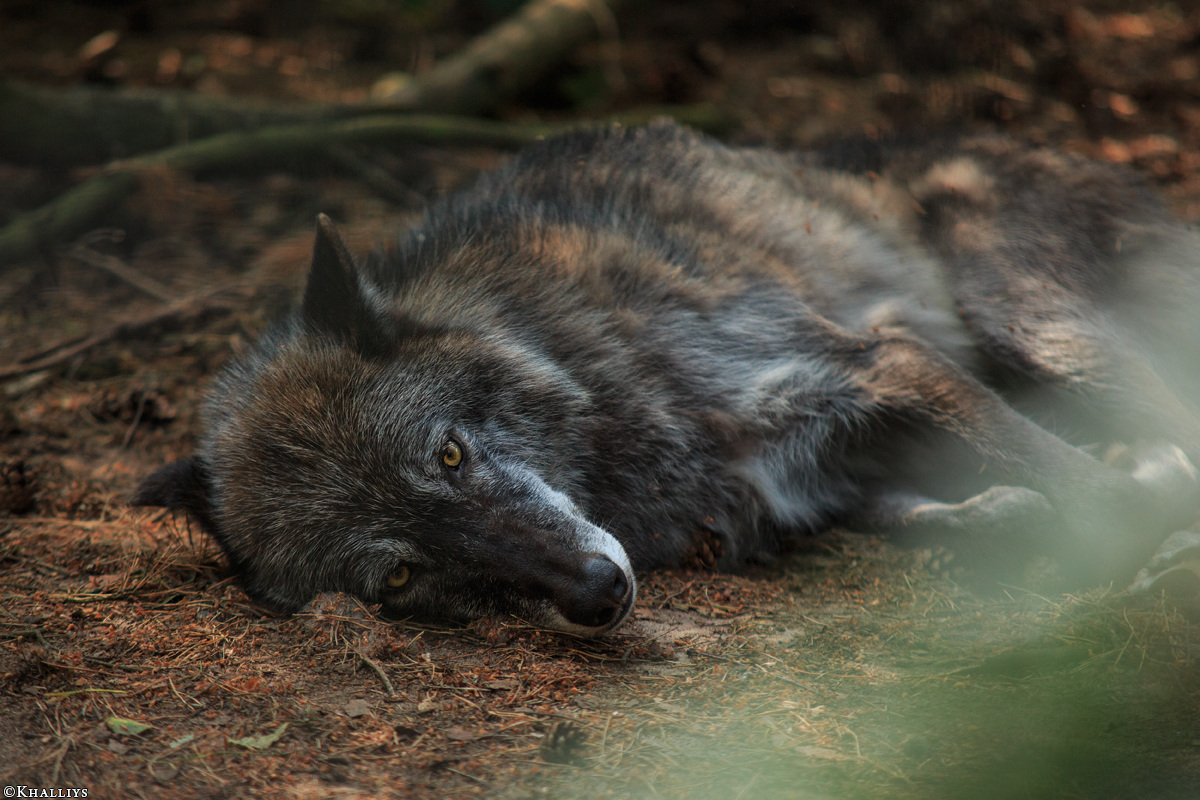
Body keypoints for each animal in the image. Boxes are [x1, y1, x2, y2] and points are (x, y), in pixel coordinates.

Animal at [134, 121, 1200, 636]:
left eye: (449, 455)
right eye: (398, 575)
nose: (598, 591)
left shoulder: (879, 361)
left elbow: (1102, 497)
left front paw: (1134, 532)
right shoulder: (788, 492)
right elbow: (945, 506)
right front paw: (1011, 516)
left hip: (1026, 323)